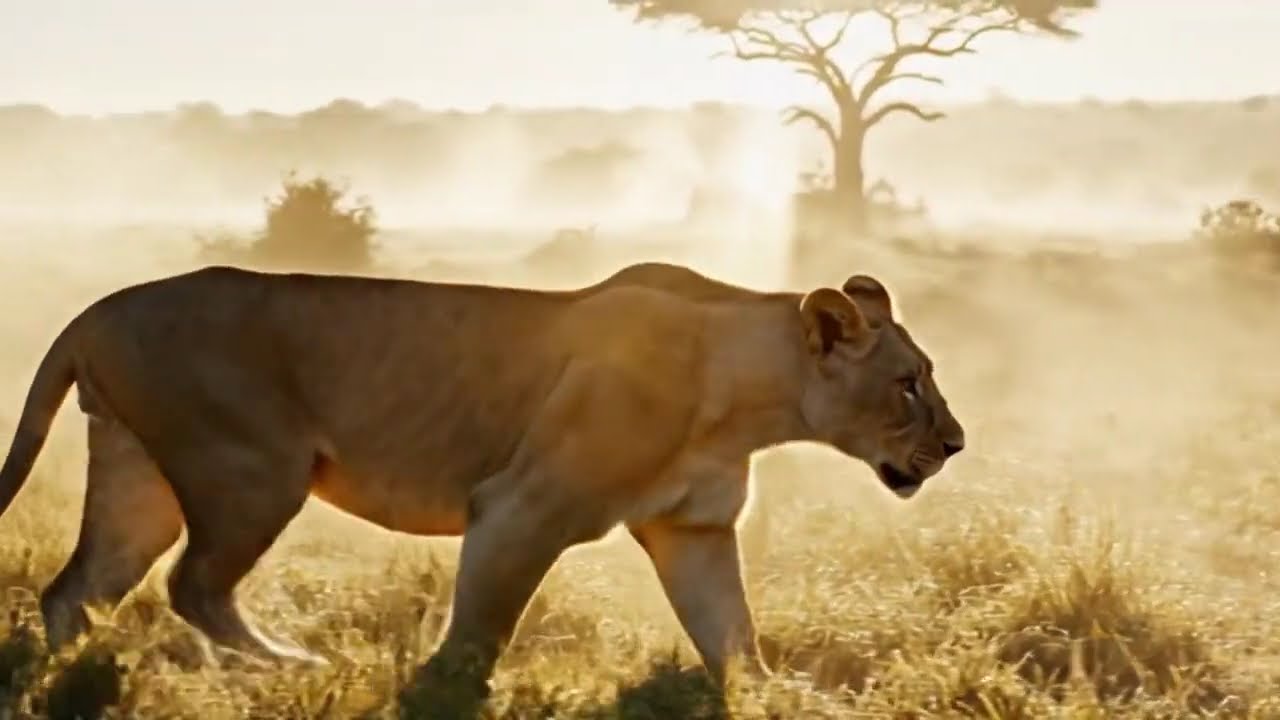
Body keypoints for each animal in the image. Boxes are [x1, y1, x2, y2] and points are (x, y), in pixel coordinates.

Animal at [0, 261, 964, 694]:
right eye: (909, 384)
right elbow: (482, 627)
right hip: (254, 470)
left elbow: (734, 633)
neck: (747, 401)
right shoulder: (521, 507)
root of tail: (95, 309)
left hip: (139, 480)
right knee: (192, 584)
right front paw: (444, 693)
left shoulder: (693, 530)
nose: (956, 445)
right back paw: (289, 664)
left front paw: (774, 695)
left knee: (76, 588)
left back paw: (66, 679)